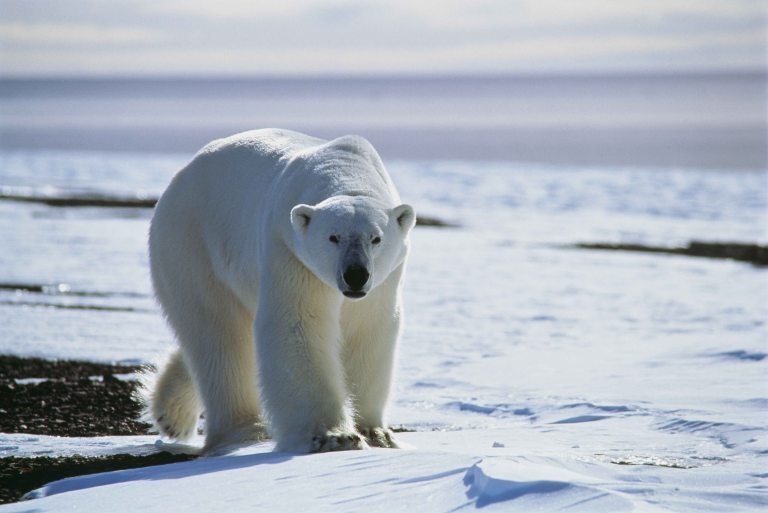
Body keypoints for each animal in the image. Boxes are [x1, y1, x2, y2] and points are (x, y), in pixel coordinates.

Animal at [146, 128, 415, 454]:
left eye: (376, 238)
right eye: (333, 237)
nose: (355, 275)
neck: (345, 168)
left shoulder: (383, 281)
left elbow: (368, 330)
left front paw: (376, 432)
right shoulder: (288, 250)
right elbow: (298, 325)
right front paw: (334, 436)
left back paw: (171, 412)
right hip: (192, 243)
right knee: (218, 334)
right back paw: (245, 429)